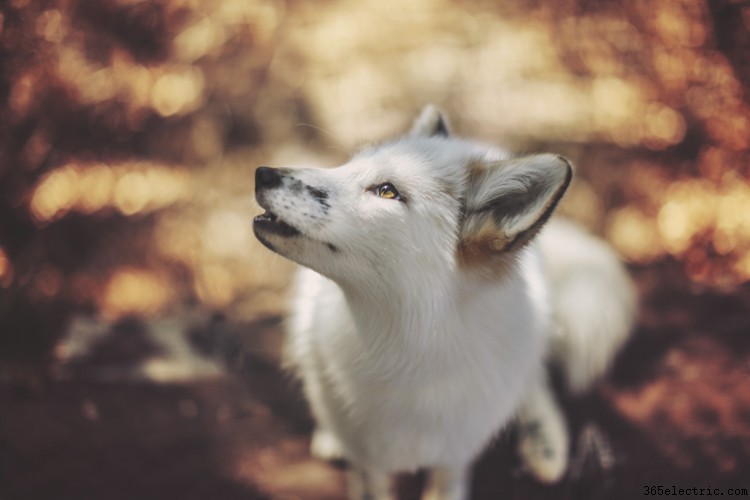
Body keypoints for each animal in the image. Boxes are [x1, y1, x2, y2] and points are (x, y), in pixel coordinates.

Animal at [254, 106, 640, 500]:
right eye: (348, 165)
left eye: (387, 191)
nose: (263, 173)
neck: (404, 352)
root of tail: (473, 143)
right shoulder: (370, 457)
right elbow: (369, 484)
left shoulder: (455, 452)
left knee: (534, 377)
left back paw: (544, 441)